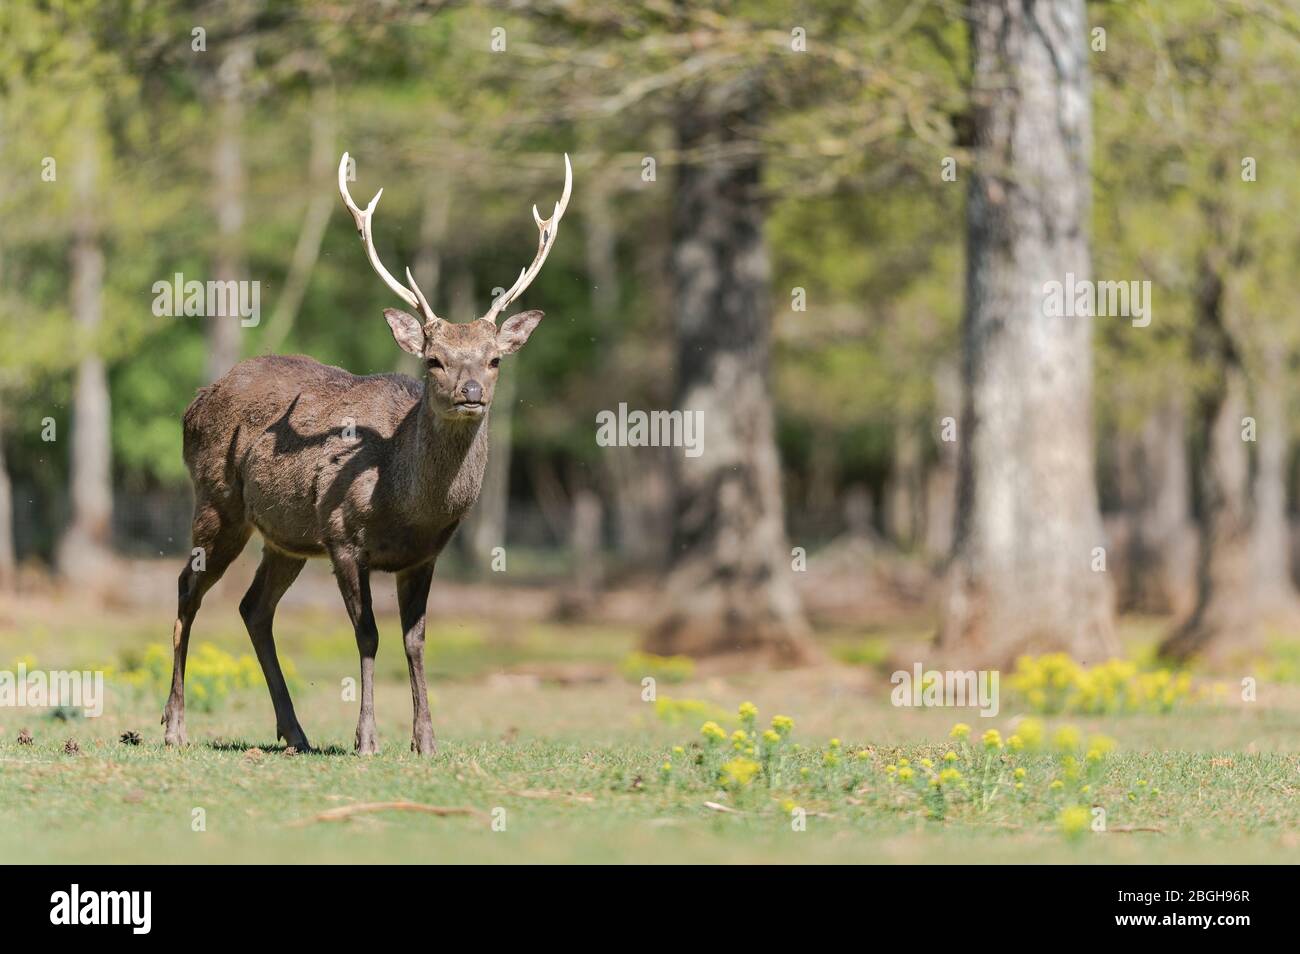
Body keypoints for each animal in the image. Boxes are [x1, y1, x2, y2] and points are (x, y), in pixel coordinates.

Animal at [161, 151, 572, 755]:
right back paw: (174, 726)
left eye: (495, 359)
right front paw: (367, 738)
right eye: (433, 359)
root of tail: (195, 402)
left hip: (285, 537)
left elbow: (415, 640)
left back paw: (295, 732)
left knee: (254, 607)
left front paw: (426, 740)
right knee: (188, 590)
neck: (407, 506)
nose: (471, 391)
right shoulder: (342, 538)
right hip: (217, 502)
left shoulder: (425, 554)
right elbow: (369, 635)